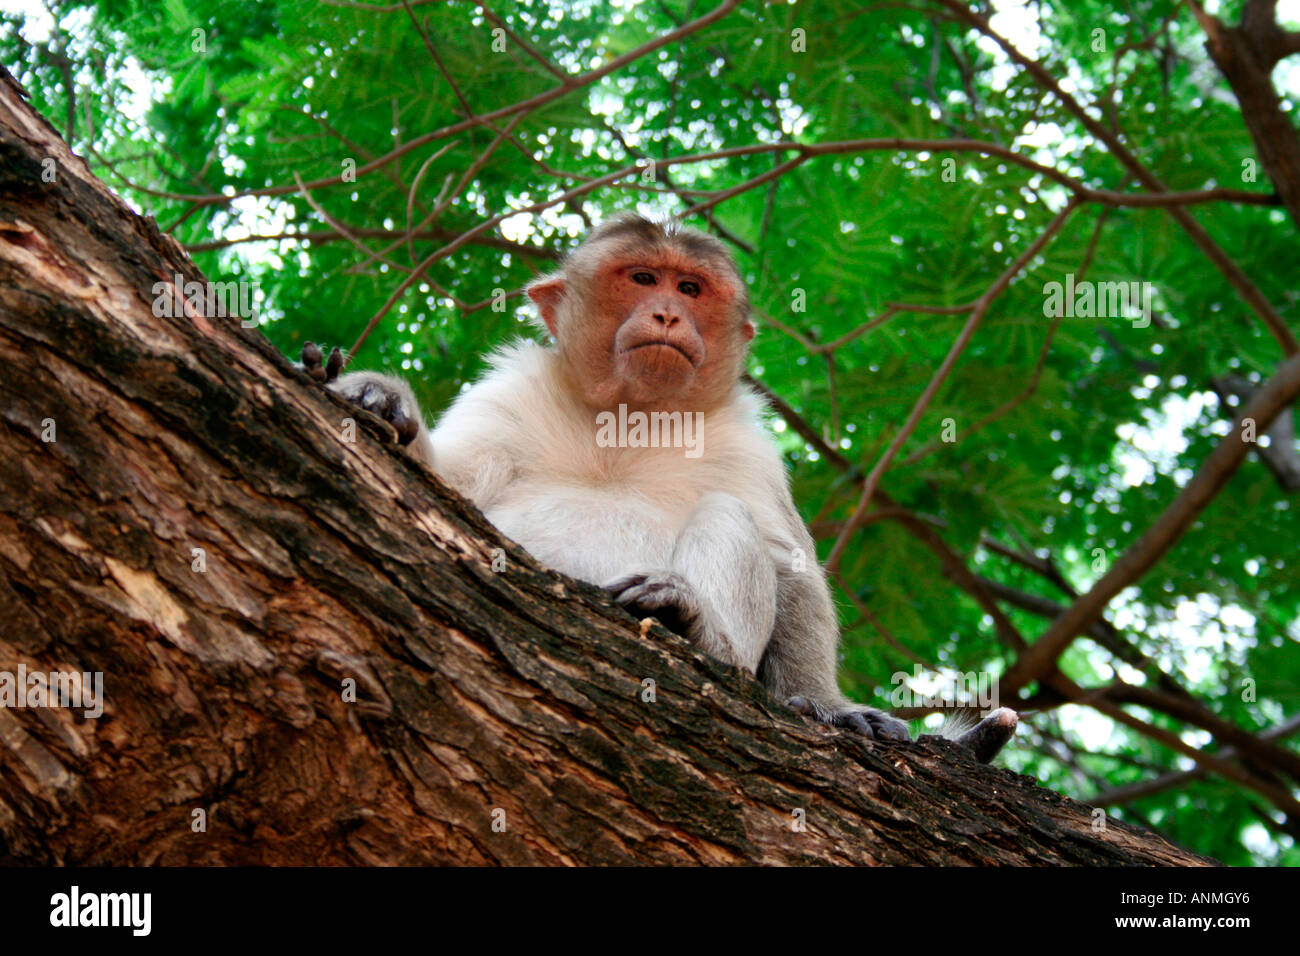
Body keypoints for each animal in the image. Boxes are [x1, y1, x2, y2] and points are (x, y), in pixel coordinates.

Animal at [303, 213, 1016, 761]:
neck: (629, 421)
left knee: (727, 515)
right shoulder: (507, 393)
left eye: (691, 287)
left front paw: (827, 703)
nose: (669, 312)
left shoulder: (747, 442)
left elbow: (789, 565)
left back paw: (691, 626)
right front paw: (380, 400)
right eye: (644, 279)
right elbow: (447, 489)